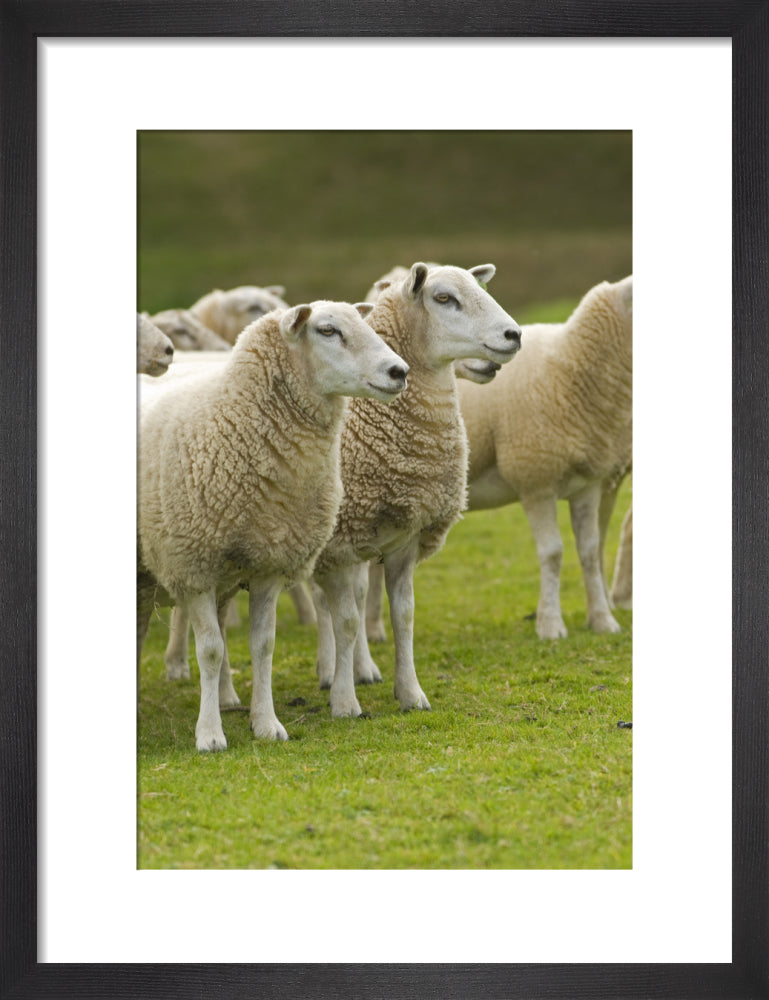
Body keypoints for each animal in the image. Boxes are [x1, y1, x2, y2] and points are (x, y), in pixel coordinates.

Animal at [137, 301, 409, 750]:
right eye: (328, 330)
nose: (399, 371)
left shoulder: (267, 562)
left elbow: (263, 645)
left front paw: (265, 724)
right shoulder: (193, 564)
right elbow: (209, 649)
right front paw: (209, 735)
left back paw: (227, 697)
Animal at [309, 263, 522, 719]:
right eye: (444, 298)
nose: (514, 334)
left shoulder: (404, 541)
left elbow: (403, 616)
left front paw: (410, 693)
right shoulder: (338, 545)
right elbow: (345, 620)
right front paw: (345, 701)